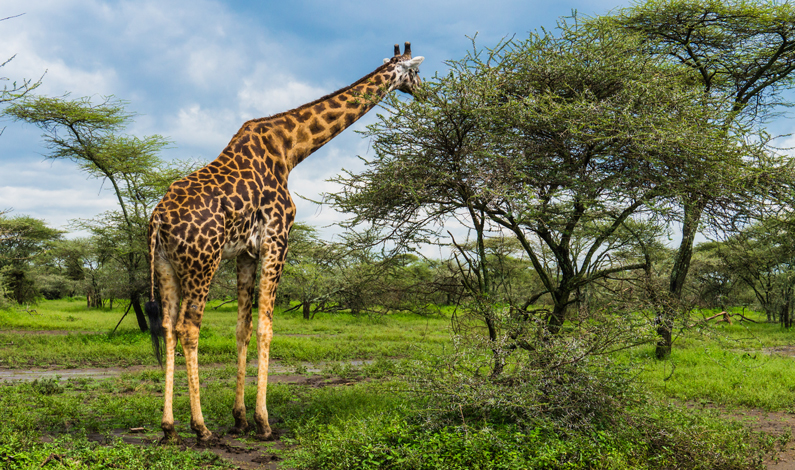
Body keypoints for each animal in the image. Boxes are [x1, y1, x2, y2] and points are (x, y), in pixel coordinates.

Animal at [145, 43, 423, 445]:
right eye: (414, 72)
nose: (425, 91)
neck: (290, 150)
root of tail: (157, 221)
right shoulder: (278, 238)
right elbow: (266, 327)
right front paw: (262, 422)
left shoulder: (245, 253)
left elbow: (243, 328)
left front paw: (241, 418)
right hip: (202, 263)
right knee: (189, 327)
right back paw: (200, 427)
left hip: (166, 266)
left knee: (167, 327)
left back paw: (168, 427)